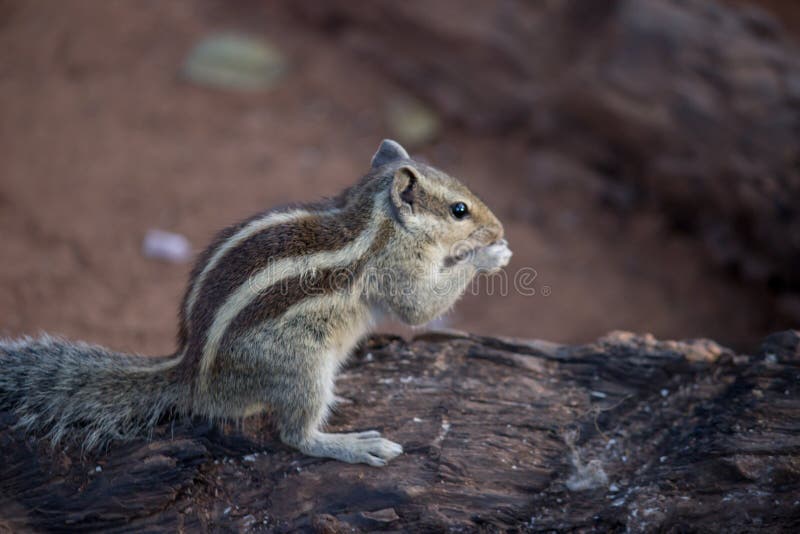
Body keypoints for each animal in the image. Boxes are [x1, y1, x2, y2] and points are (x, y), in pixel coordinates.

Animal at [0, 140, 512, 466]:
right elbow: (420, 307)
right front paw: (488, 256)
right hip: (300, 365)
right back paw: (351, 445)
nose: (500, 228)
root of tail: (193, 377)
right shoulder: (397, 266)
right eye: (459, 210)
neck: (375, 217)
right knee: (296, 436)